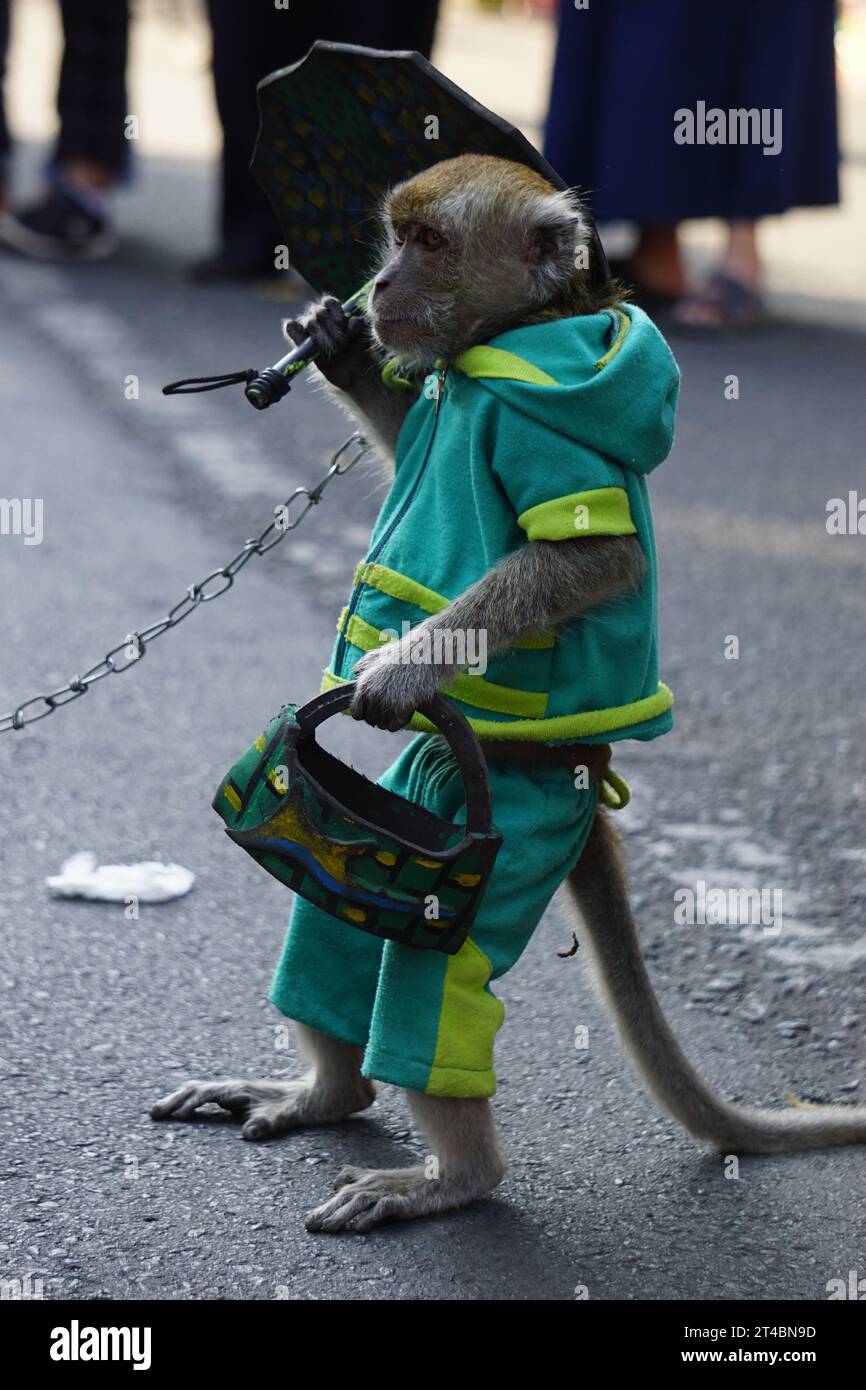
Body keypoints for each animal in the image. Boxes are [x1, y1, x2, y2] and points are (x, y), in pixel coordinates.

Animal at [152, 154, 866, 1233]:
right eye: (393, 239)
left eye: (429, 243)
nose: (382, 286)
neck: (518, 335)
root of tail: (582, 776)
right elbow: (414, 441)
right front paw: (338, 349)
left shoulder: (548, 443)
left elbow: (590, 558)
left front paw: (400, 669)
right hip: (406, 809)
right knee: (330, 932)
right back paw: (324, 1093)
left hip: (507, 835)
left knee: (436, 977)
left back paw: (454, 1176)